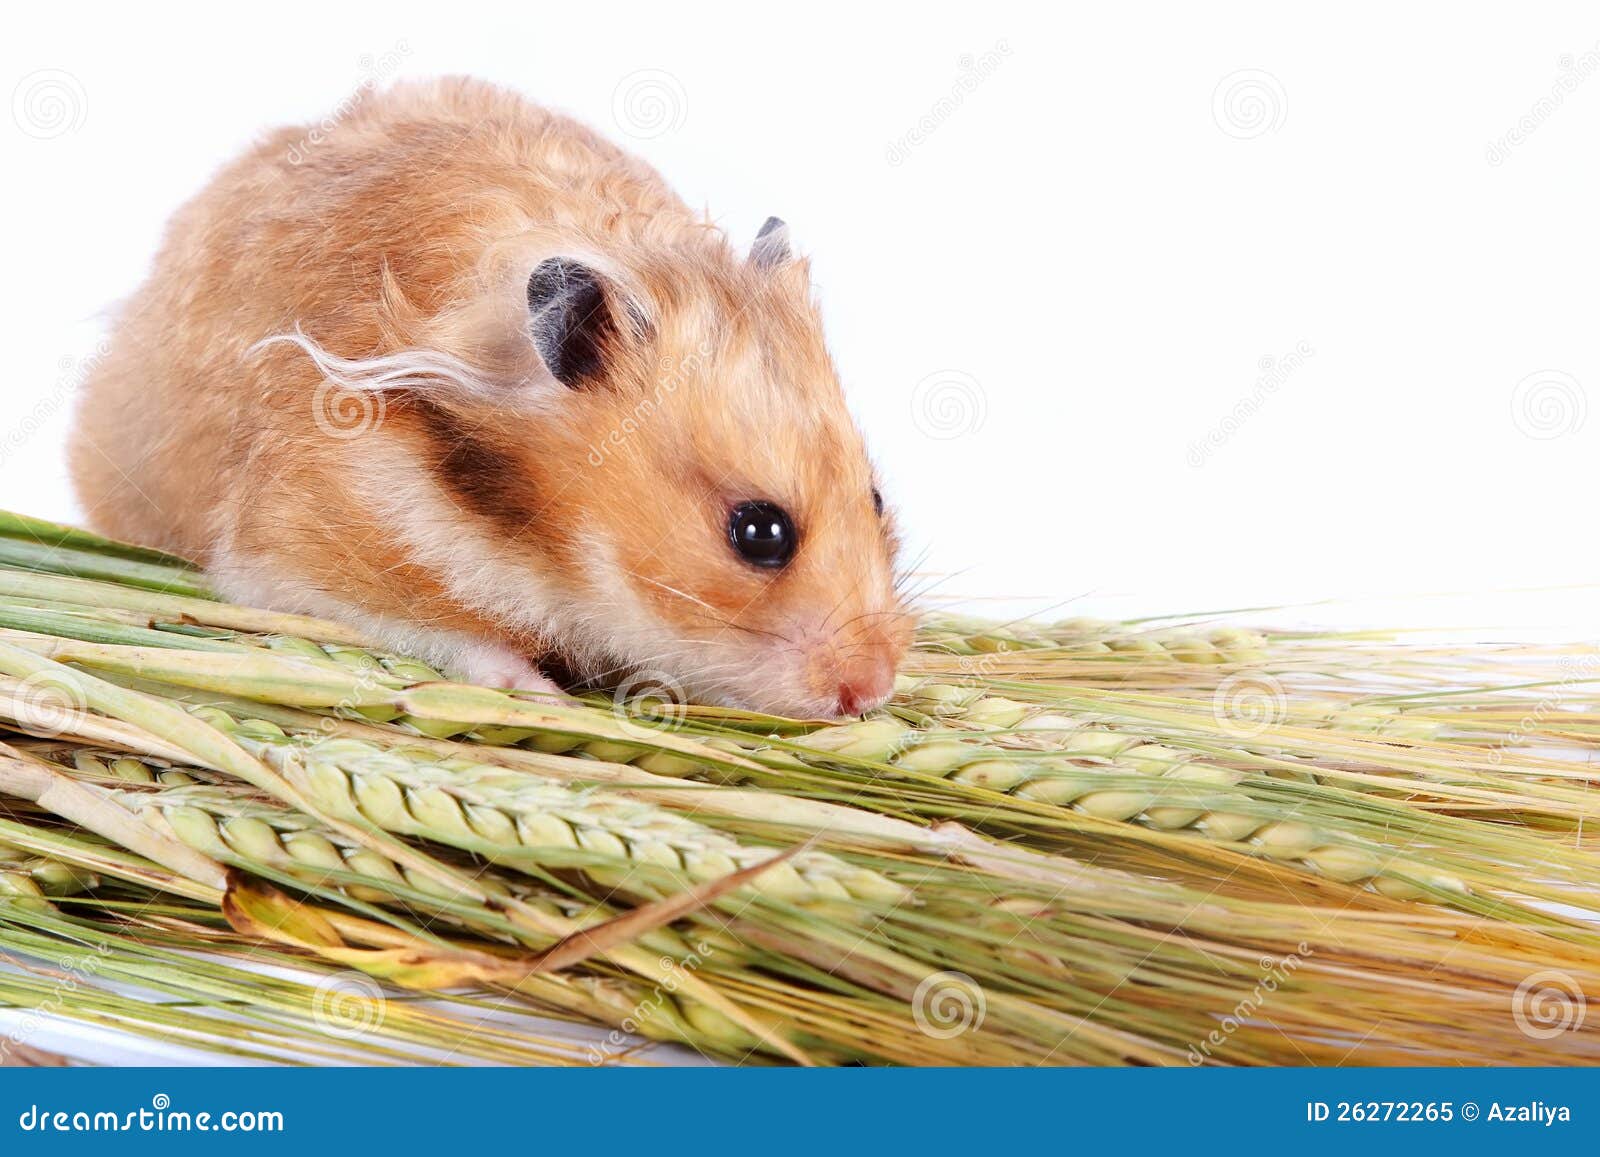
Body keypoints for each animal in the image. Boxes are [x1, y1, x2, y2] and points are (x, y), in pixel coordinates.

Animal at [69, 77, 910, 718]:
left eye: (876, 498)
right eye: (760, 532)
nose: (871, 692)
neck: (552, 546)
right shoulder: (295, 543)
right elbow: (448, 632)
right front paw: (543, 694)